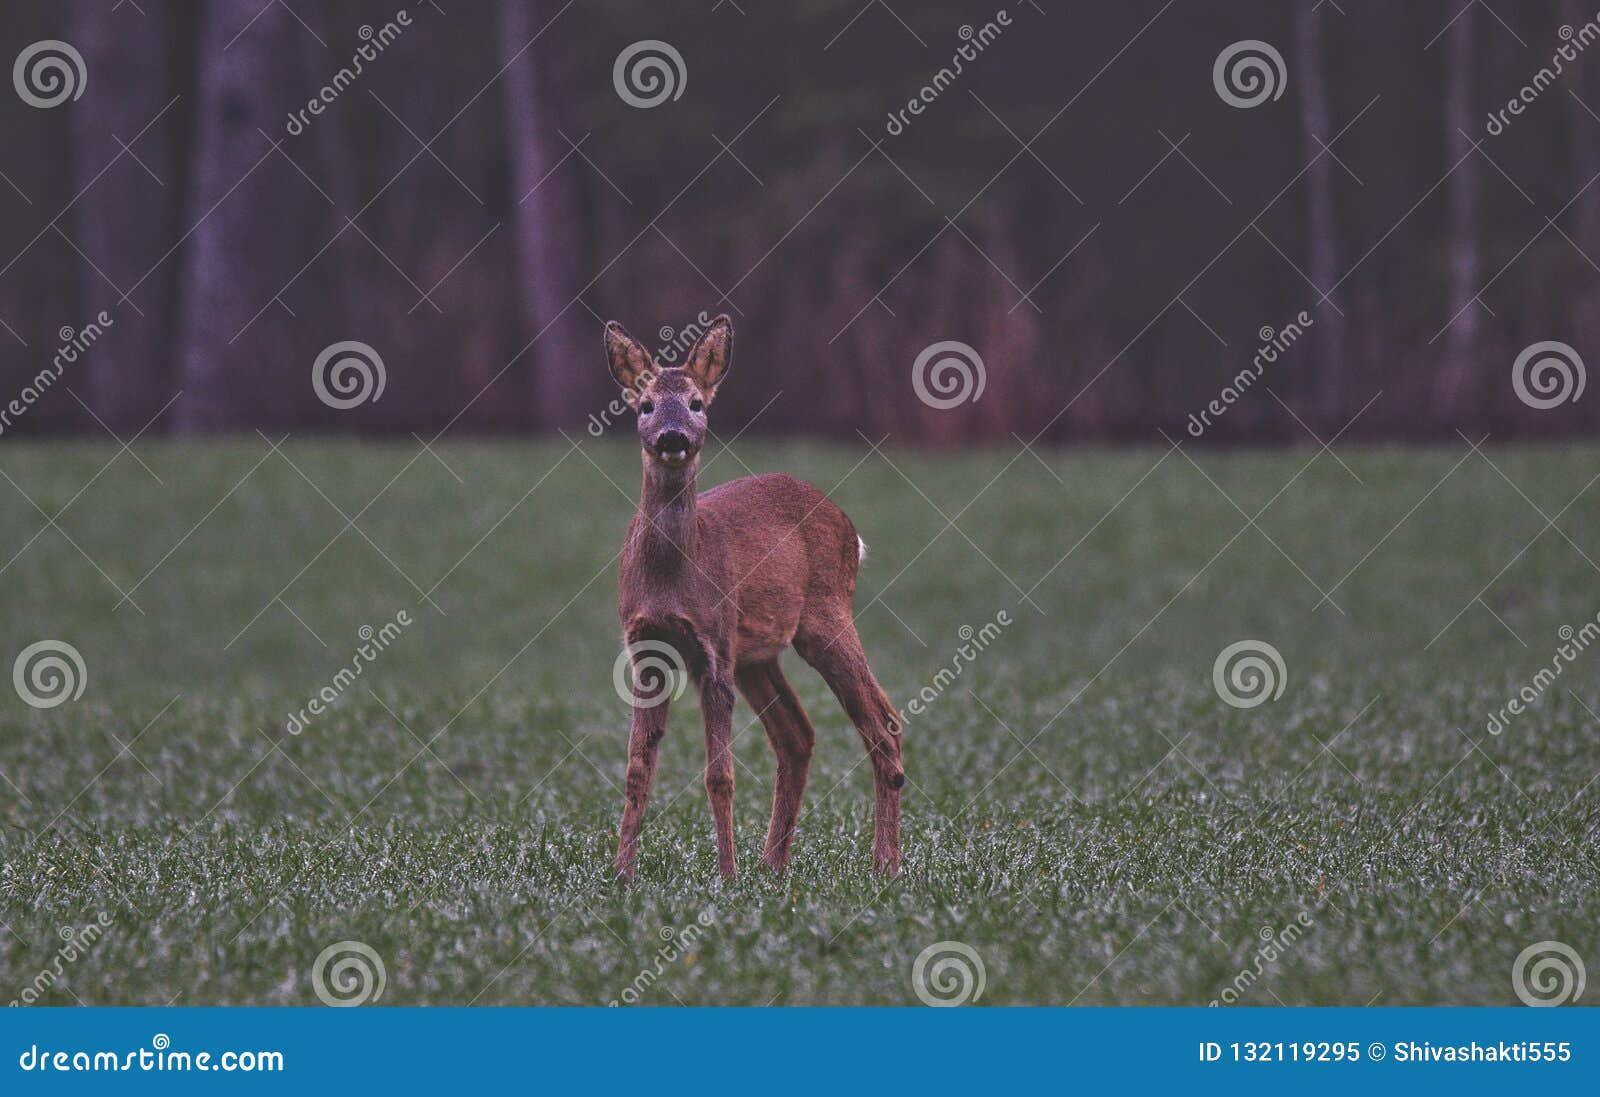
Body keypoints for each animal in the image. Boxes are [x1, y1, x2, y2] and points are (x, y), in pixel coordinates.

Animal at [605, 314, 905, 880]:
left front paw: (725, 874)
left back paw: (884, 864)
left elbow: (719, 774)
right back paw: (773, 864)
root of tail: (849, 527)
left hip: (825, 615)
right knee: (797, 735)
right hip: (758, 654)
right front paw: (622, 874)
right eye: (646, 404)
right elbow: (636, 768)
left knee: (884, 721)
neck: (672, 573)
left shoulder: (715, 644)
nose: (673, 436)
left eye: (697, 403)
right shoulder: (644, 647)